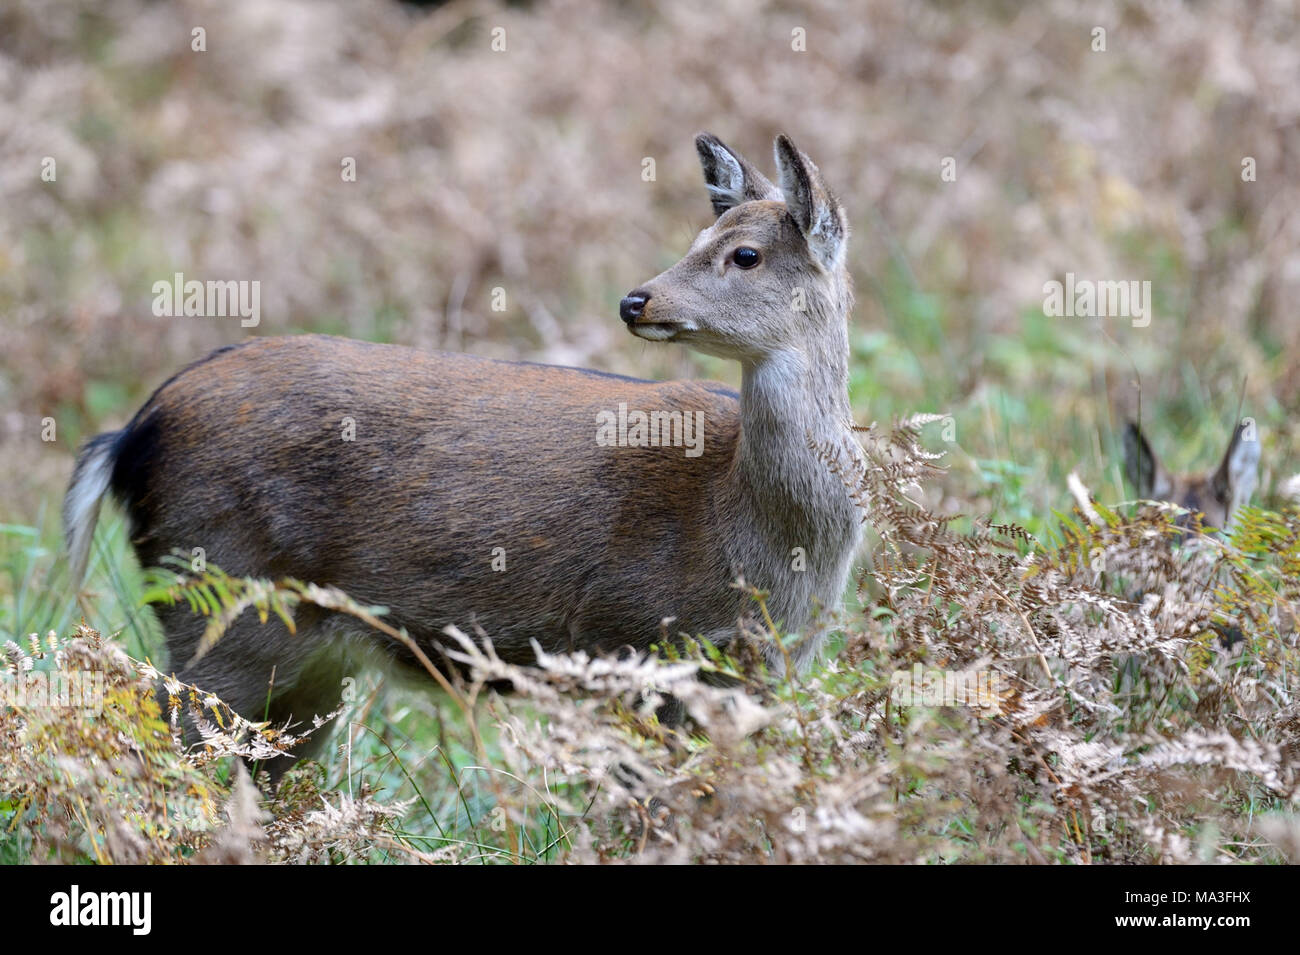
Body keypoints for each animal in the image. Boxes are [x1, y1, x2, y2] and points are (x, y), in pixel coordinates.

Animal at [64, 132, 864, 768]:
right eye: (697, 241)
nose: (636, 300)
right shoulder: (631, 640)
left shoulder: (759, 676)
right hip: (219, 595)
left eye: (745, 253)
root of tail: (131, 433)